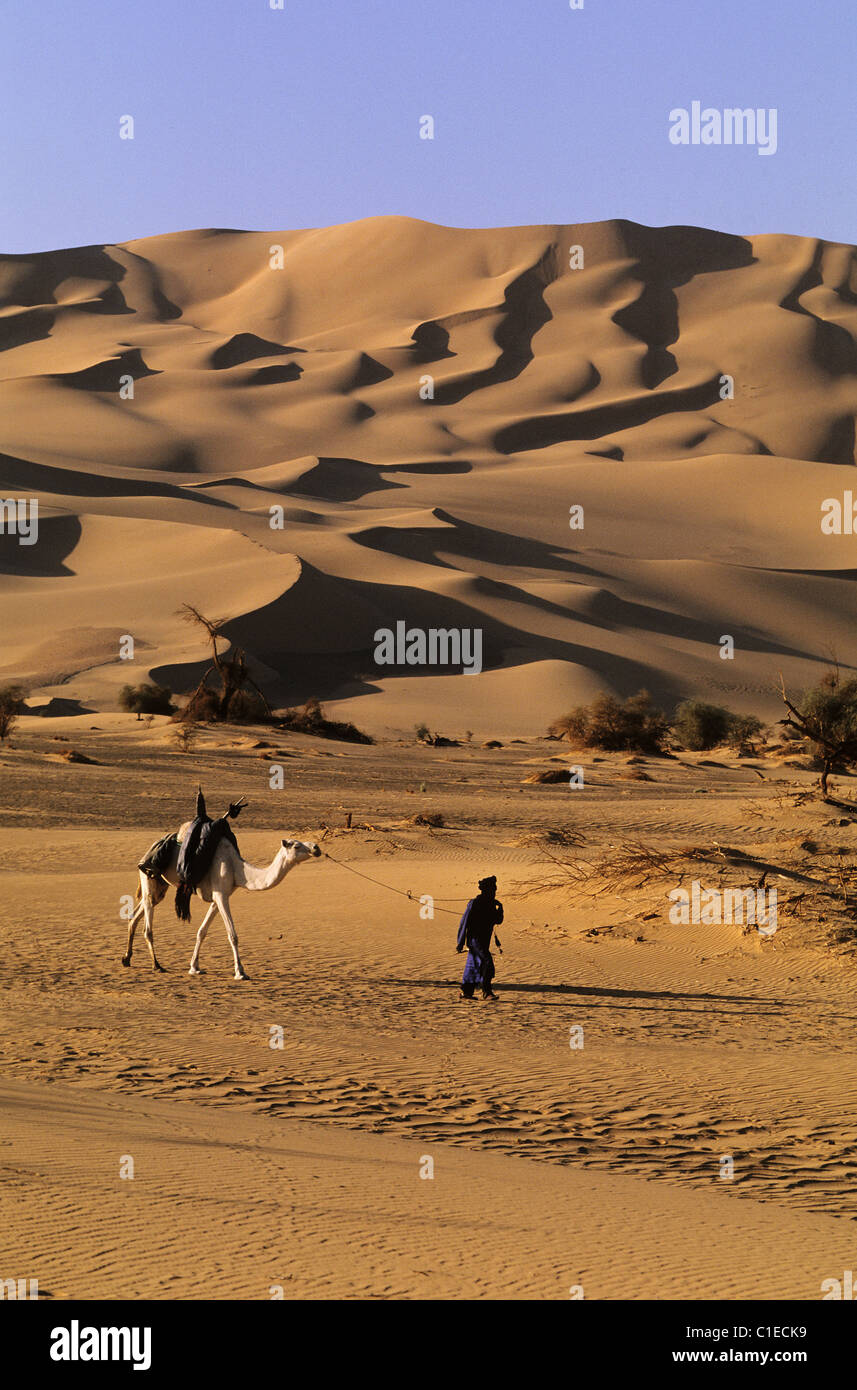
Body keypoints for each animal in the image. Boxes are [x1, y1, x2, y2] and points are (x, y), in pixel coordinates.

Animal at [122, 826, 321, 980]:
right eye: (296, 845)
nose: (316, 847)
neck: (237, 869)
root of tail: (148, 851)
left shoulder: (220, 896)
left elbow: (202, 931)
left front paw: (194, 967)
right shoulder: (220, 895)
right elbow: (232, 935)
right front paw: (240, 972)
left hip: (160, 886)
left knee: (136, 915)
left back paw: (127, 959)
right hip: (149, 877)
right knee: (147, 925)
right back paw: (157, 965)